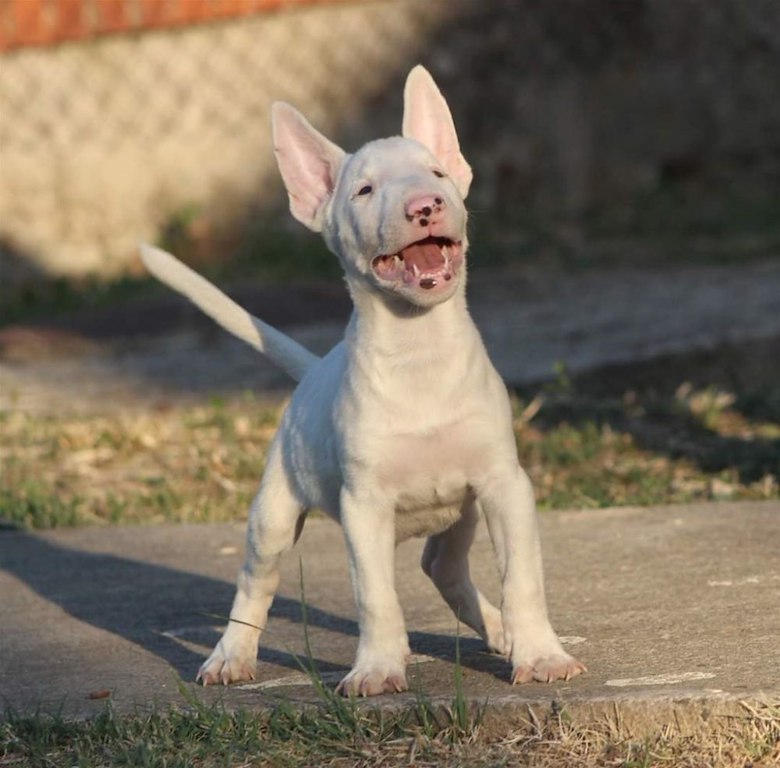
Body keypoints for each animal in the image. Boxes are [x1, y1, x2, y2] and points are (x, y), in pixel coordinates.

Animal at [142, 64, 584, 696]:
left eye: (438, 173)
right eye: (365, 191)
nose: (427, 205)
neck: (419, 353)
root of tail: (314, 369)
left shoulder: (504, 486)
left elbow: (522, 577)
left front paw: (541, 656)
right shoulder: (363, 507)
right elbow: (376, 595)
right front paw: (376, 669)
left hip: (463, 511)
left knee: (442, 567)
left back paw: (499, 631)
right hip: (273, 513)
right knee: (256, 581)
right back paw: (230, 657)